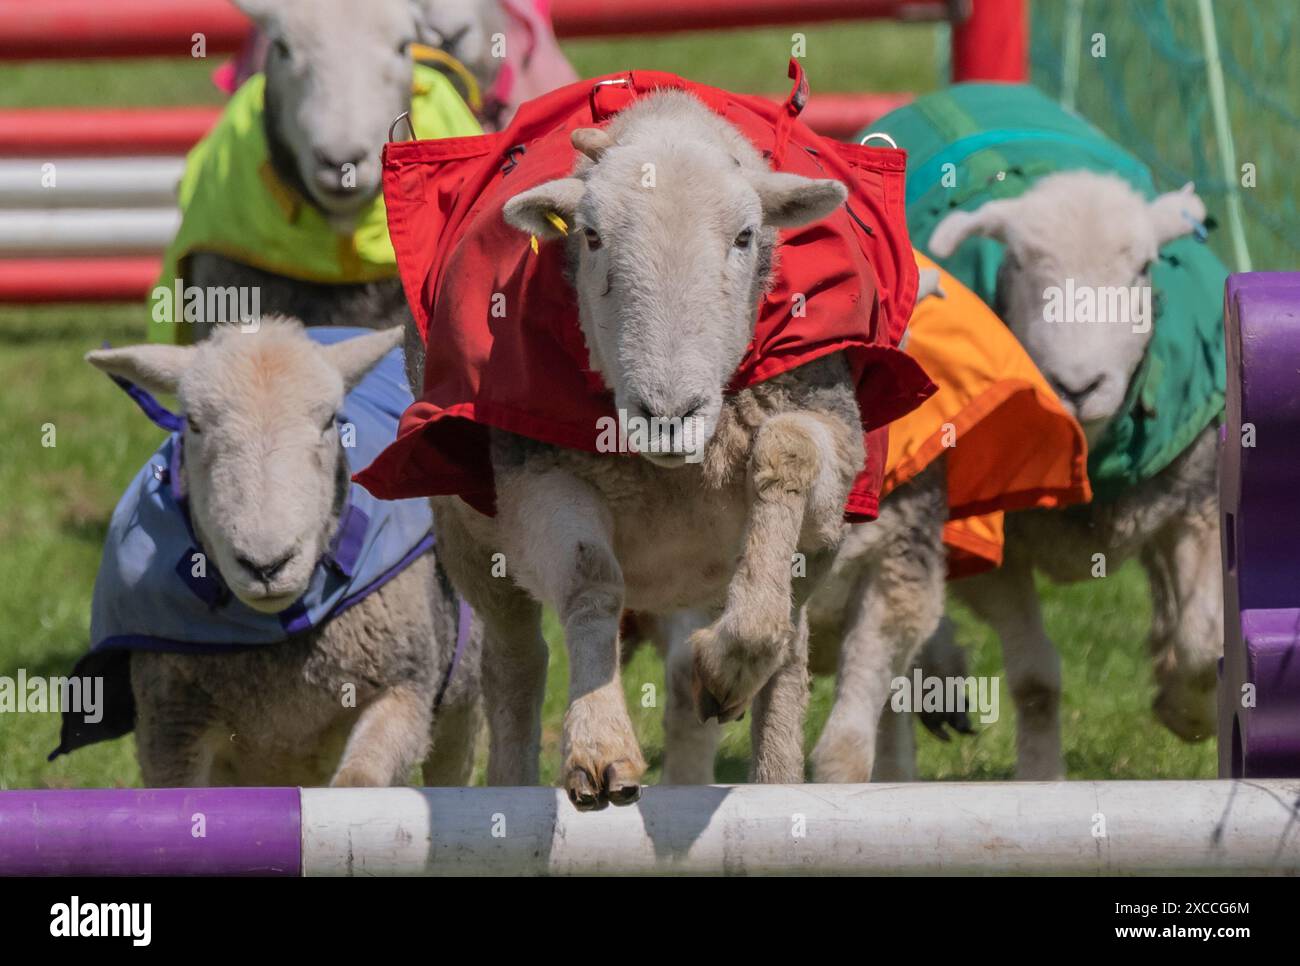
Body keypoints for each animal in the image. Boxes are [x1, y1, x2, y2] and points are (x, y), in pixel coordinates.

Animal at [74, 322, 480, 787]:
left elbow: (358, 783)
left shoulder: (404, 689)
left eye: (330, 420)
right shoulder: (171, 722)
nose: (266, 565)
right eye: (192, 423)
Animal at [427, 89, 875, 809]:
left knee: (791, 646)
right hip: (468, 540)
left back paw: (774, 770)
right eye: (590, 236)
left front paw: (725, 666)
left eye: (746, 237)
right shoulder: (537, 476)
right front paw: (600, 743)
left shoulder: (825, 428)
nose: (668, 415)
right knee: (517, 665)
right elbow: (589, 578)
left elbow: (787, 454)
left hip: (811, 551)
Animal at [925, 170, 1223, 779]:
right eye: (1017, 263)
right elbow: (1035, 680)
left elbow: (1204, 645)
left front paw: (1185, 712)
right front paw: (1041, 778)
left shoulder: (1195, 499)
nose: (1080, 385)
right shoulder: (990, 549)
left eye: (1143, 267)